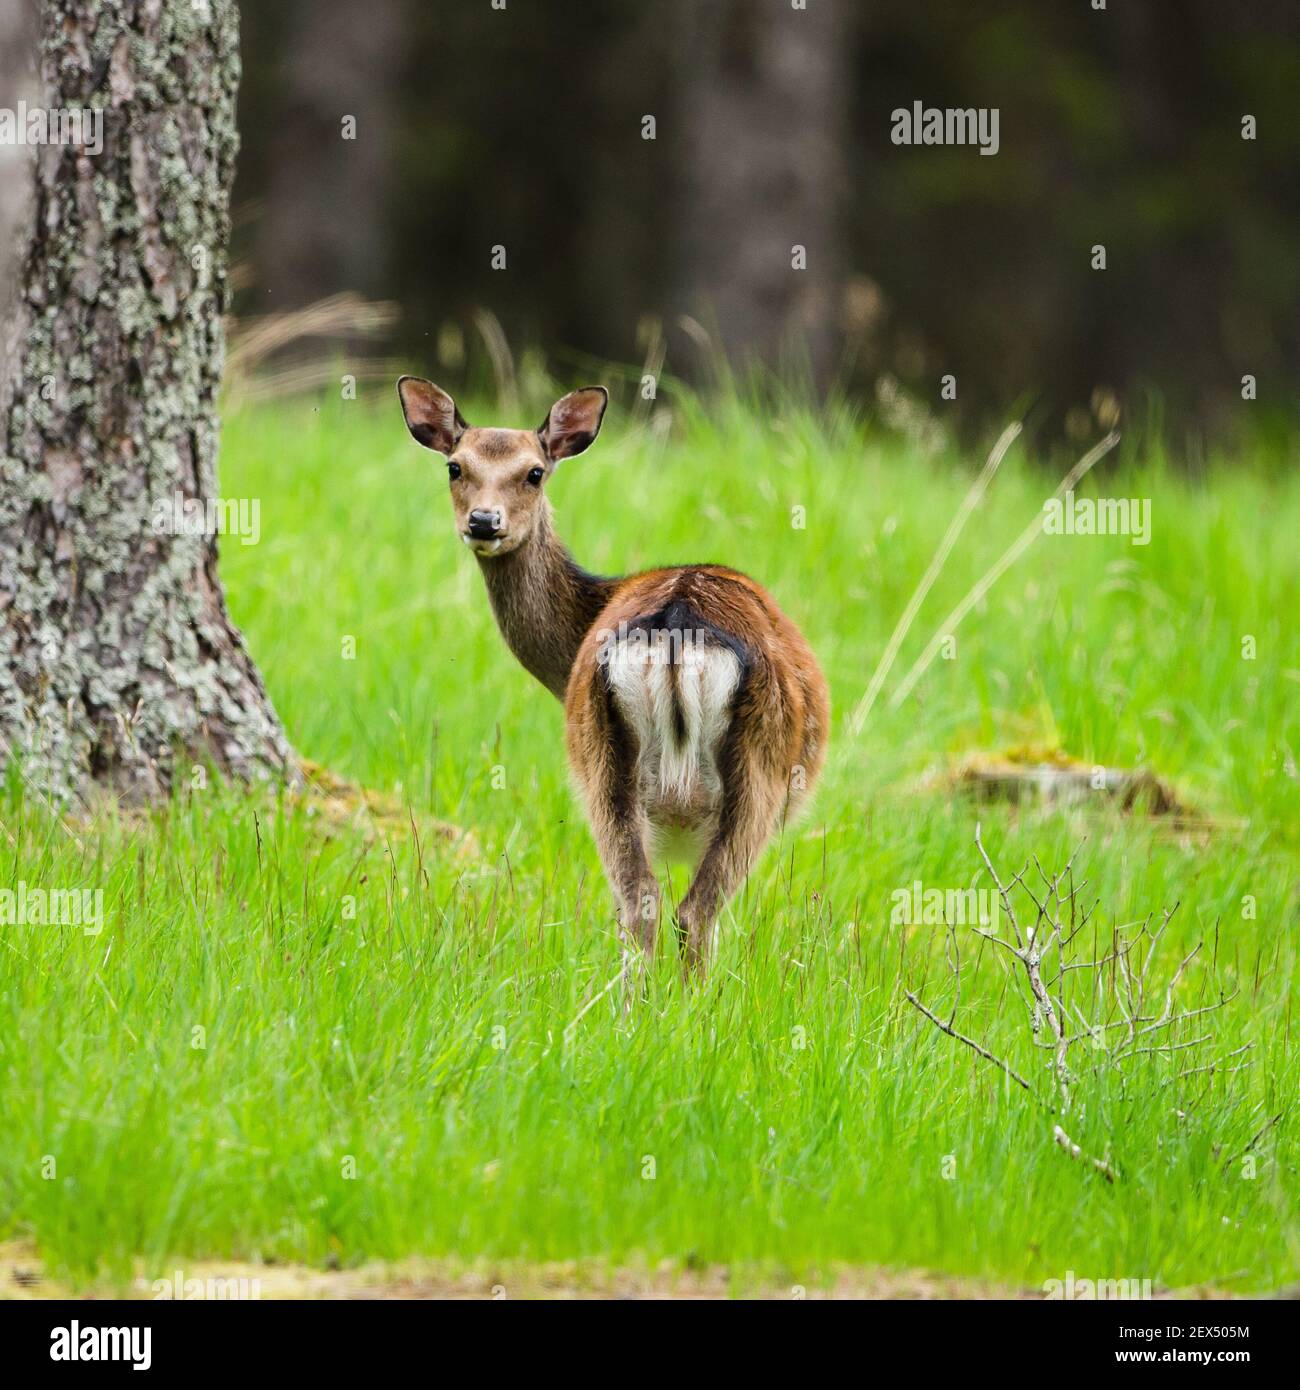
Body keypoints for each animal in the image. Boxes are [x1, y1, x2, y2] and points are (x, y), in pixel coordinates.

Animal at [397, 377, 829, 979]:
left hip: (607, 765)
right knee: (691, 912)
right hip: (755, 772)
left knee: (641, 903)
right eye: (455, 467)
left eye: (535, 472)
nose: (483, 521)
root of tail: (677, 626)